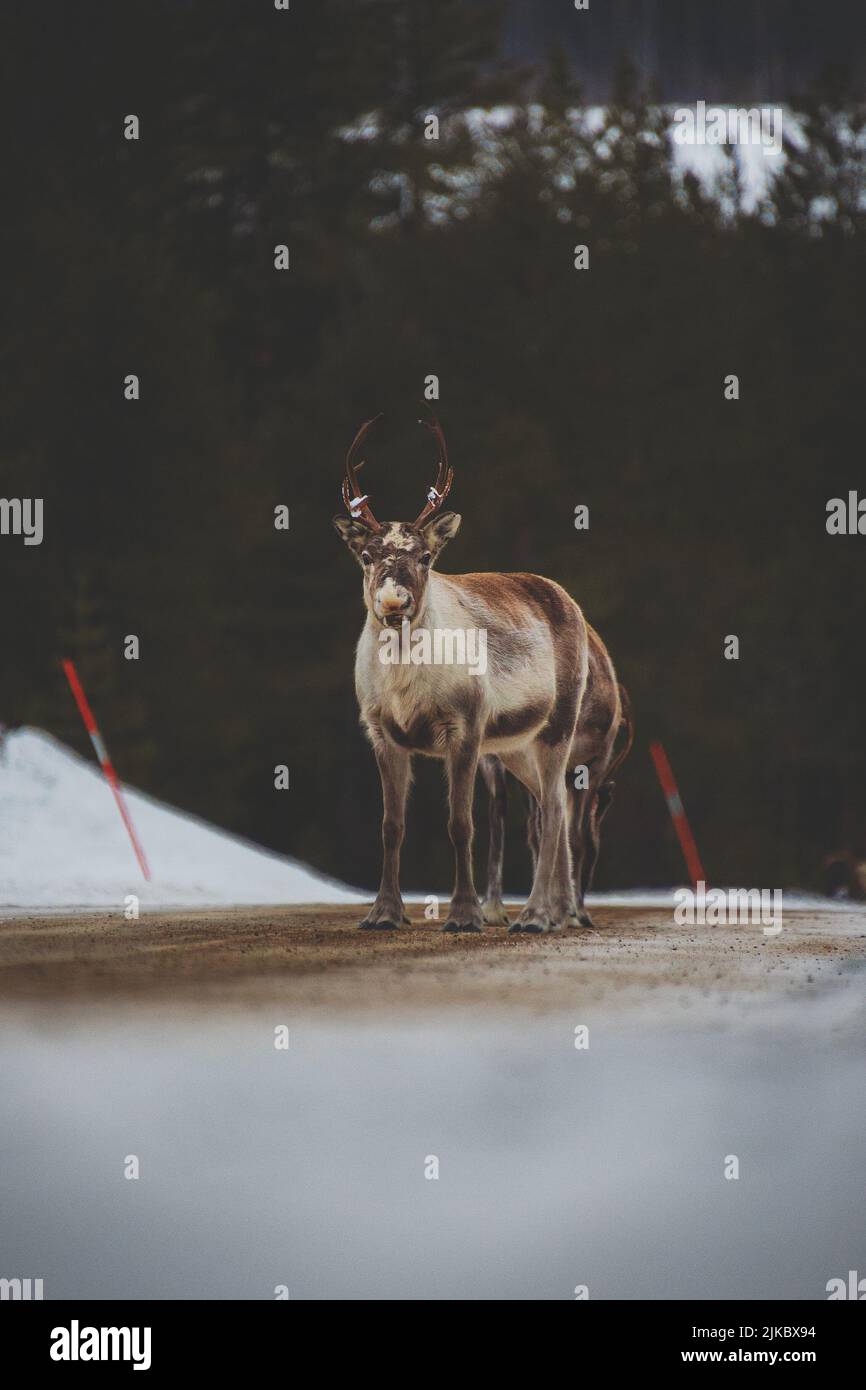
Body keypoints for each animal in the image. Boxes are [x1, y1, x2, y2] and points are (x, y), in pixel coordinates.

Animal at [333, 410, 622, 934]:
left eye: (426, 556)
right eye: (366, 556)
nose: (393, 602)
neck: (405, 685)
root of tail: (568, 600)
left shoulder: (464, 726)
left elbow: (460, 824)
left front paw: (465, 914)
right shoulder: (381, 730)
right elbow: (391, 826)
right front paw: (384, 913)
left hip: (558, 727)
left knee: (555, 810)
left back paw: (537, 915)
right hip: (516, 749)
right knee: (552, 809)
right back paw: (555, 912)